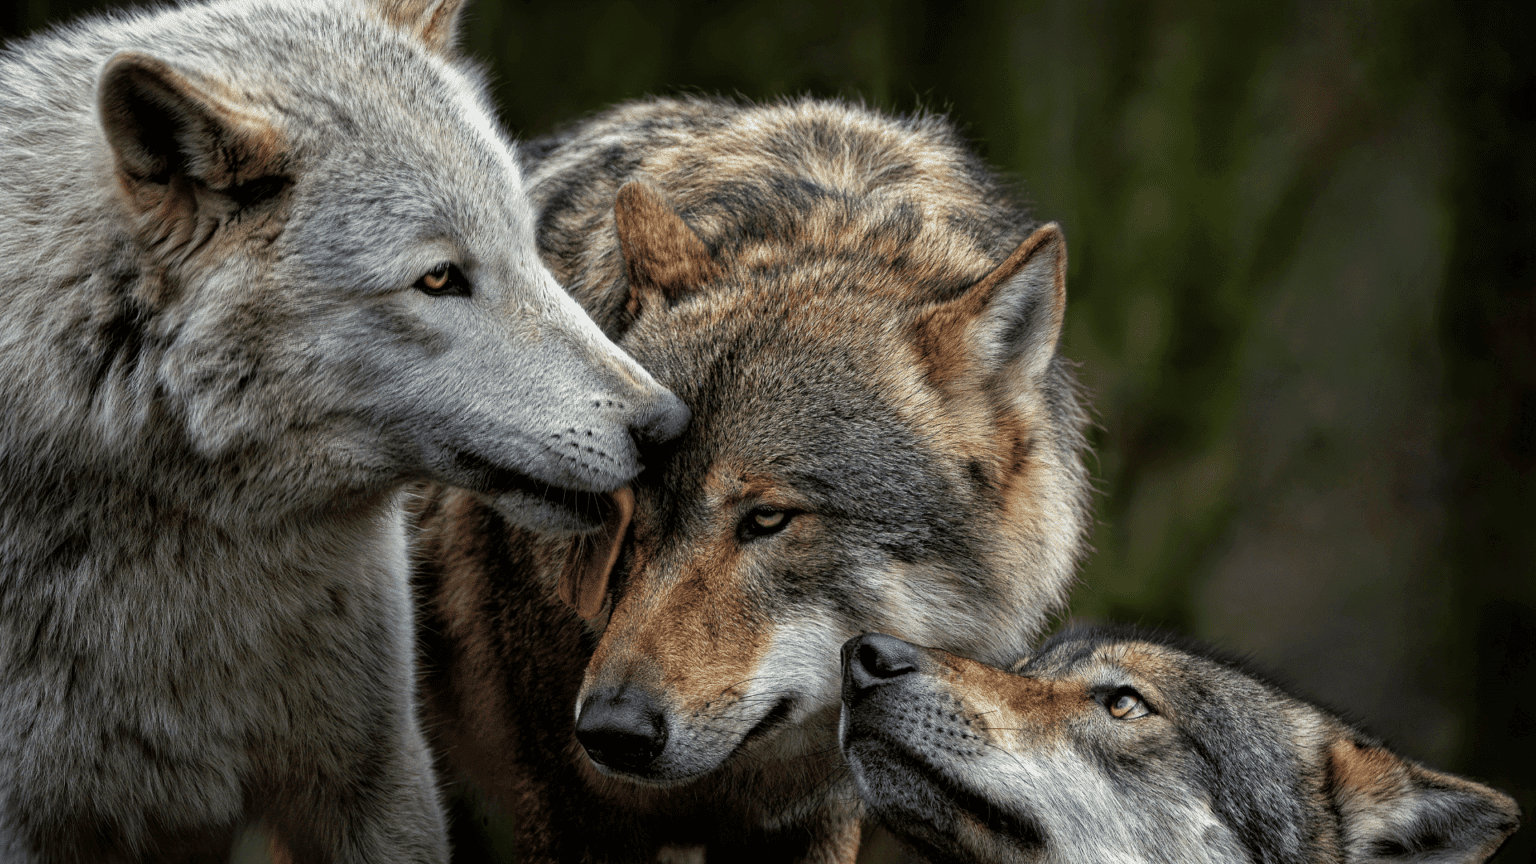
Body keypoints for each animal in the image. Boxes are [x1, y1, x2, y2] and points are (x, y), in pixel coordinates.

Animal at [412, 96, 1093, 861]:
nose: (612, 731)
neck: (827, 219)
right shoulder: (568, 807)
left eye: (767, 519)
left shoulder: (815, 819)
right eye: (621, 513)